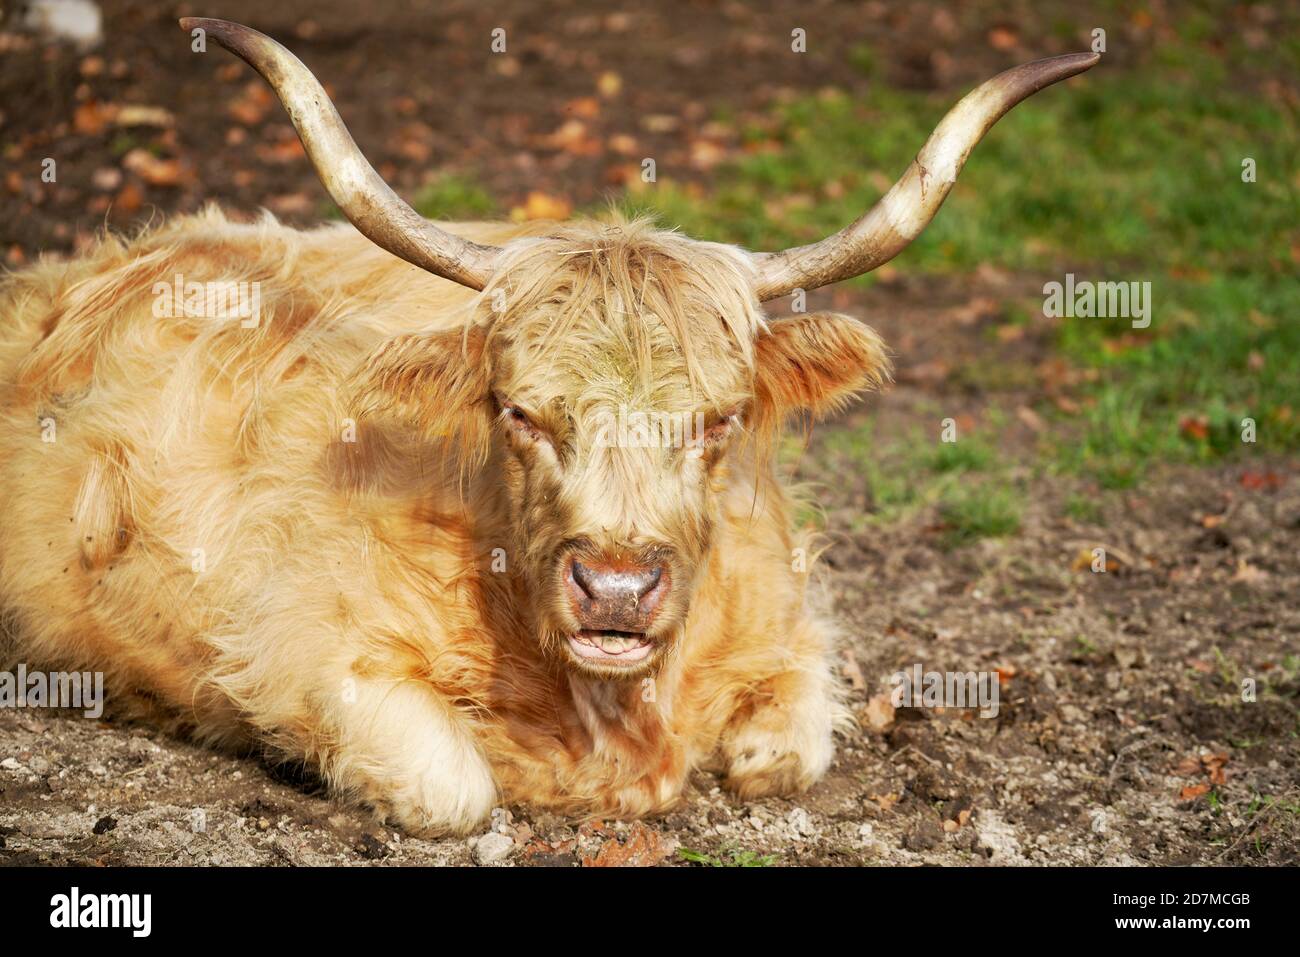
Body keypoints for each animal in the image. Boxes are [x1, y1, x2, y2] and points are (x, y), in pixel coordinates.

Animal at [0, 19, 1097, 834]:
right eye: (521, 412)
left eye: (718, 420)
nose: (614, 586)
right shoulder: (299, 650)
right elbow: (454, 785)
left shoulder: (790, 631)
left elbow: (781, 755)